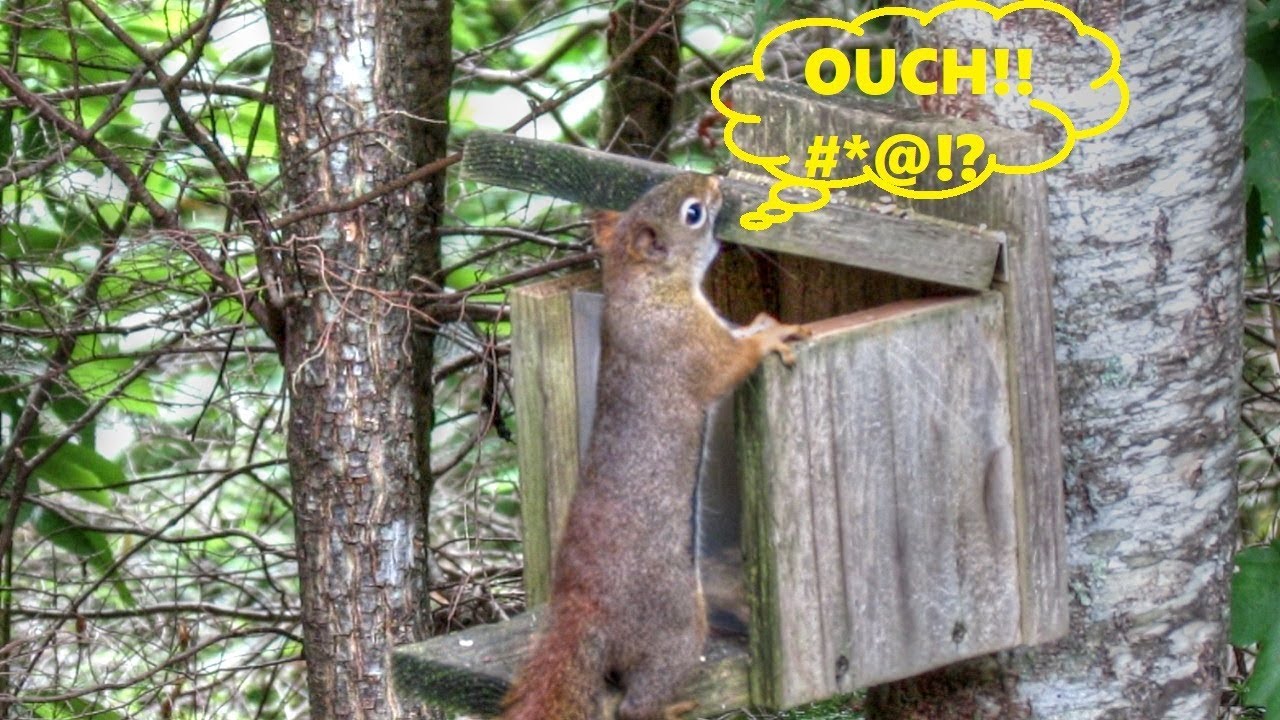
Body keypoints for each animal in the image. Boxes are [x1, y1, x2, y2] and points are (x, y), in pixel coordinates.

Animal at [501, 173, 809, 720]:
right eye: (693, 213)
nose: (714, 181)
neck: (645, 286)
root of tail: (582, 610)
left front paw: (758, 323)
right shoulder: (687, 342)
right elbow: (730, 363)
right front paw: (771, 335)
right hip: (679, 623)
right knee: (635, 701)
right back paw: (670, 706)